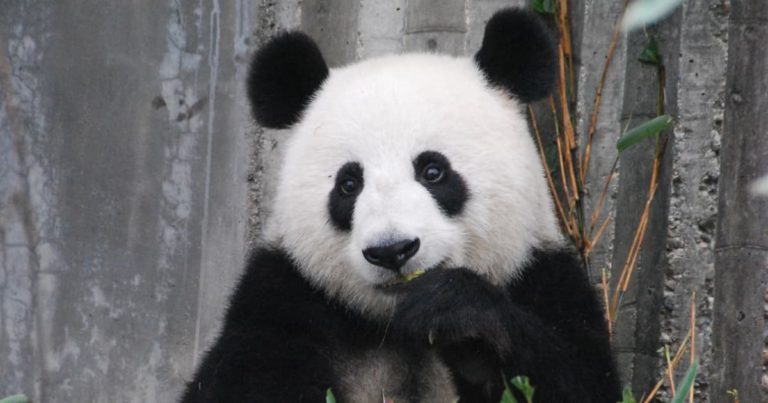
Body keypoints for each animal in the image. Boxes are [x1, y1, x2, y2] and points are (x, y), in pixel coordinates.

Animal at [181, 8, 620, 403]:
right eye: (348, 184)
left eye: (433, 171)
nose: (391, 251)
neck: (392, 323)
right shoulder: (283, 296)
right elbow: (238, 381)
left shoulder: (542, 275)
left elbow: (581, 377)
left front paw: (461, 322)